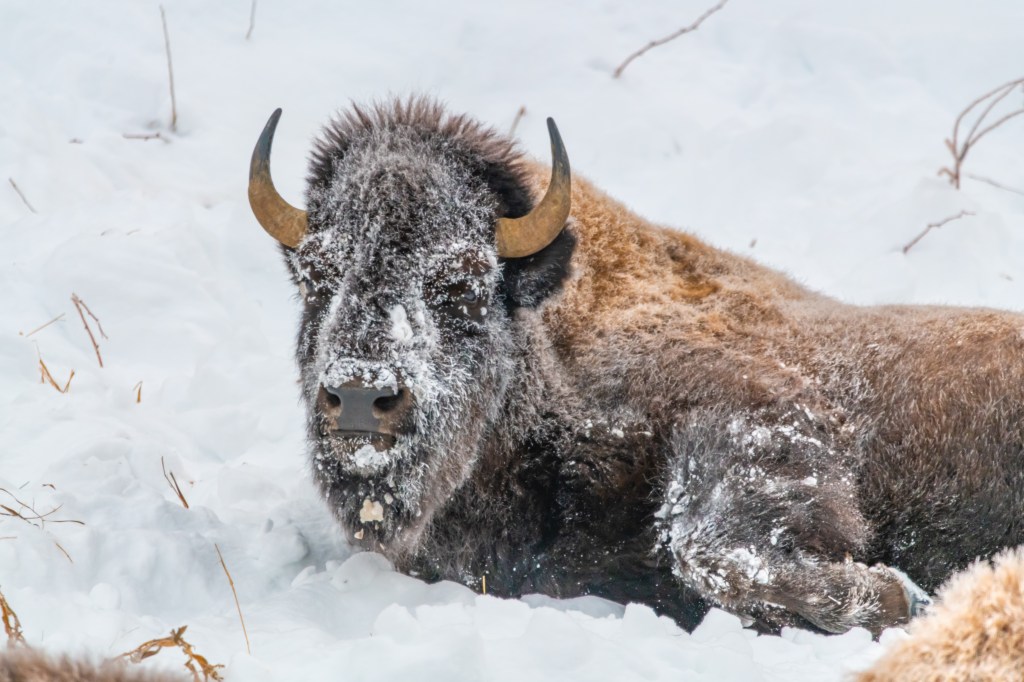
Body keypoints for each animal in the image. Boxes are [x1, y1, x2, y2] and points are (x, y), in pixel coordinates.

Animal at [247, 97, 1024, 635]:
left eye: (463, 282)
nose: (359, 397)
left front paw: (903, 597)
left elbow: (707, 548)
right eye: (317, 277)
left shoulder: (761, 416)